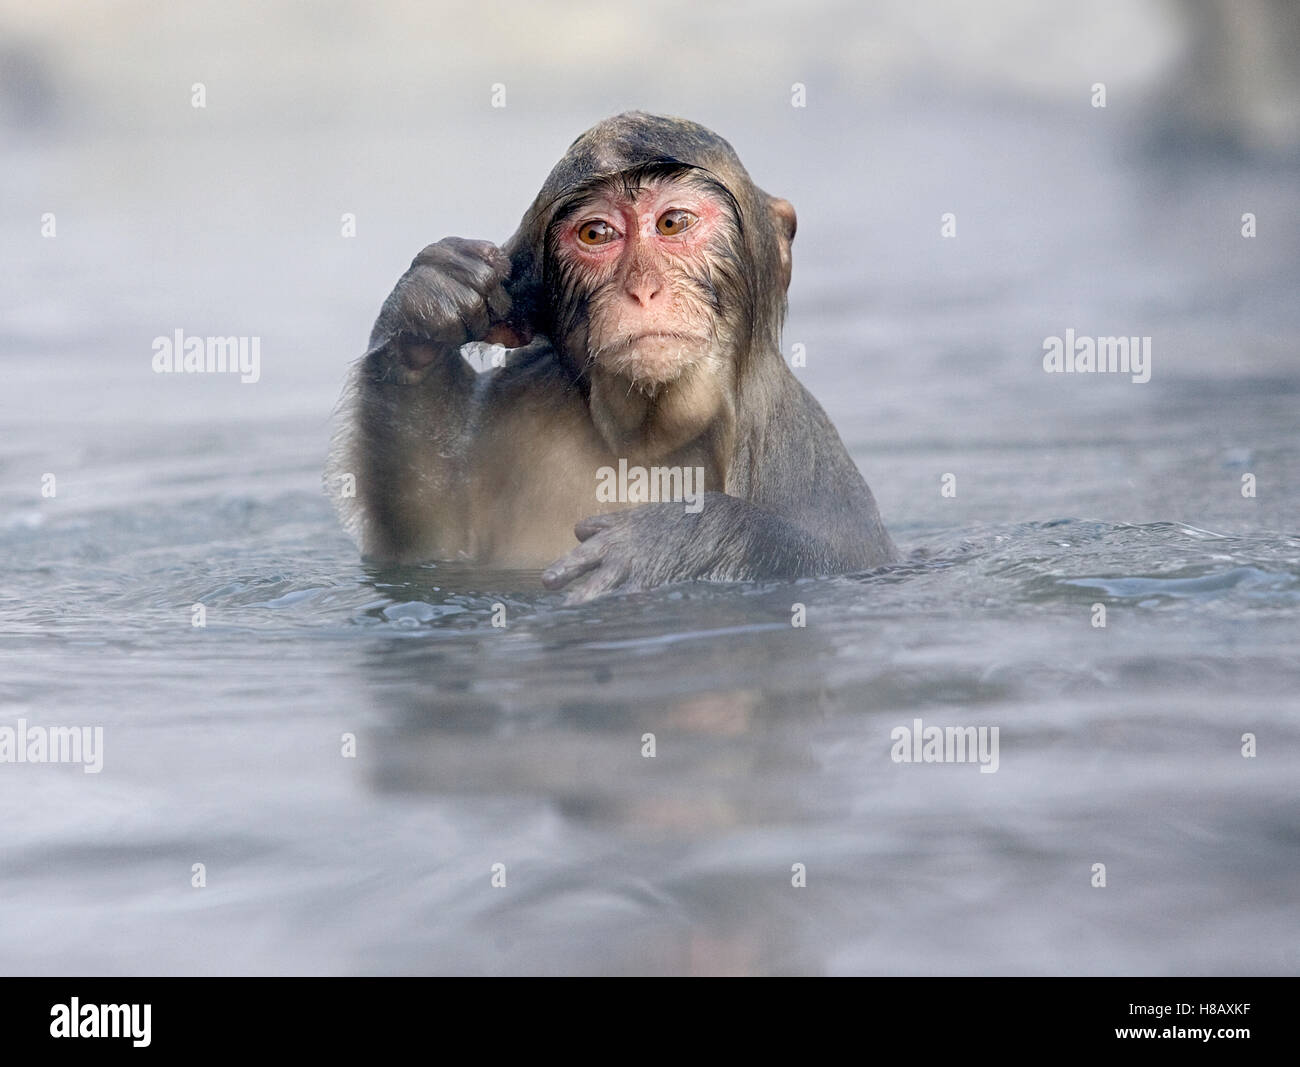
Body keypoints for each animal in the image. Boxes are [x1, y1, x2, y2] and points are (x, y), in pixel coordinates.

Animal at [327, 112, 897, 603]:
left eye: (672, 223)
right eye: (596, 233)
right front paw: (426, 309)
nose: (641, 288)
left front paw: (679, 542)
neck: (649, 439)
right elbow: (428, 548)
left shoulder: (810, 474)